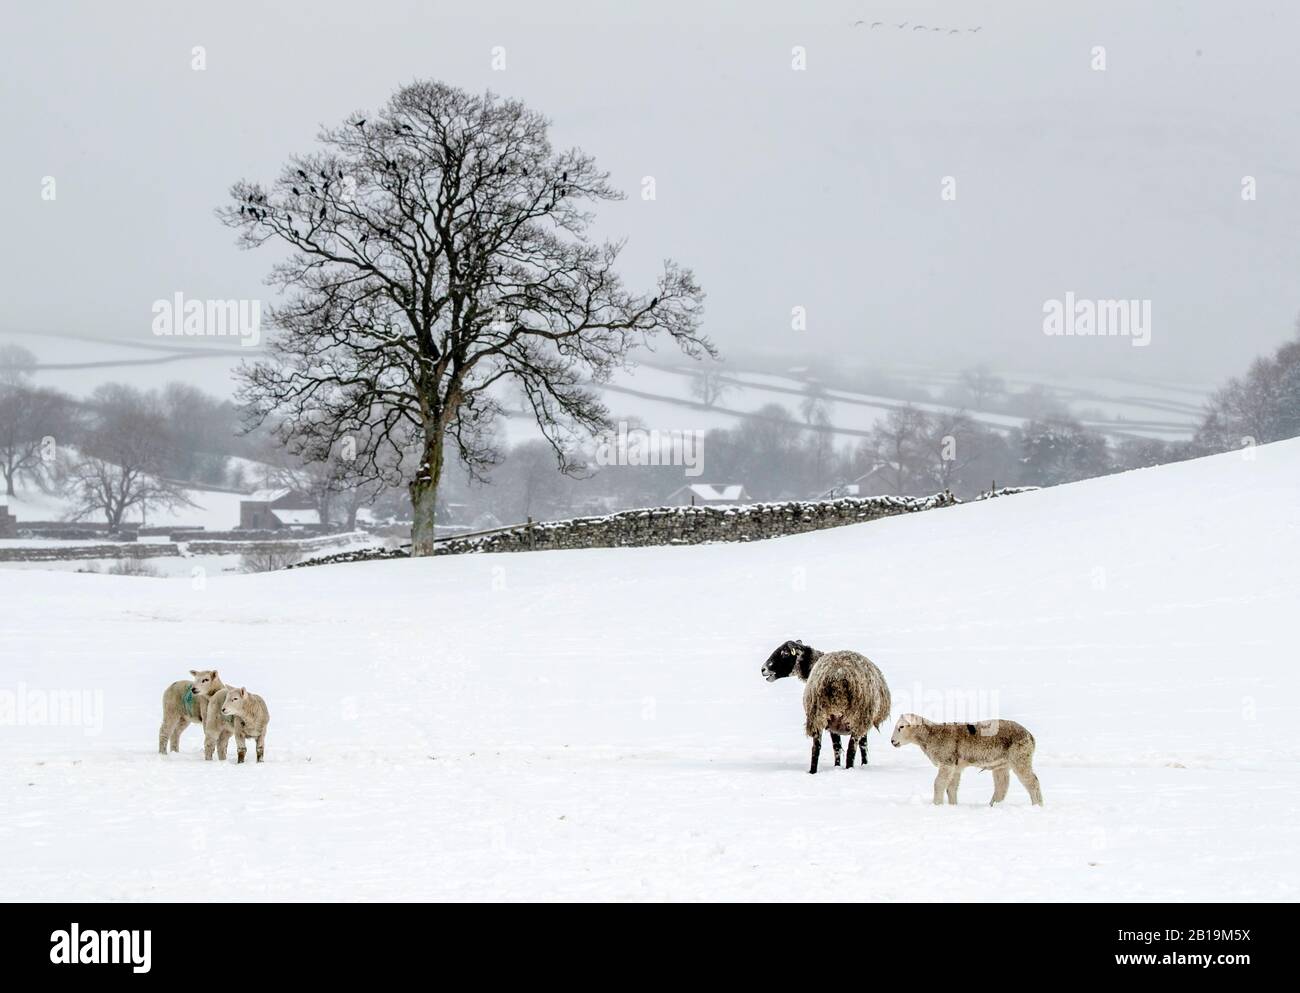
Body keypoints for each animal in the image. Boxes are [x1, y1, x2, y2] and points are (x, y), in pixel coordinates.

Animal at [760, 639, 892, 774]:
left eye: (785, 653)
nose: (763, 669)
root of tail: (839, 675)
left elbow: (844, 746)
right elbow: (855, 746)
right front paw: (856, 765)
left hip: (823, 714)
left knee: (817, 748)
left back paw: (814, 771)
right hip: (851, 716)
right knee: (849, 749)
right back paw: (846, 768)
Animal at [889, 713, 1043, 806]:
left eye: (901, 727)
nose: (892, 741)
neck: (930, 736)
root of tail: (1030, 736)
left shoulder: (947, 762)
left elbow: (939, 784)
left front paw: (937, 804)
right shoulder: (955, 767)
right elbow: (951, 788)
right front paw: (953, 805)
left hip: (1020, 757)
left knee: (1032, 782)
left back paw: (1037, 805)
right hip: (1001, 764)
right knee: (1002, 786)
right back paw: (992, 805)